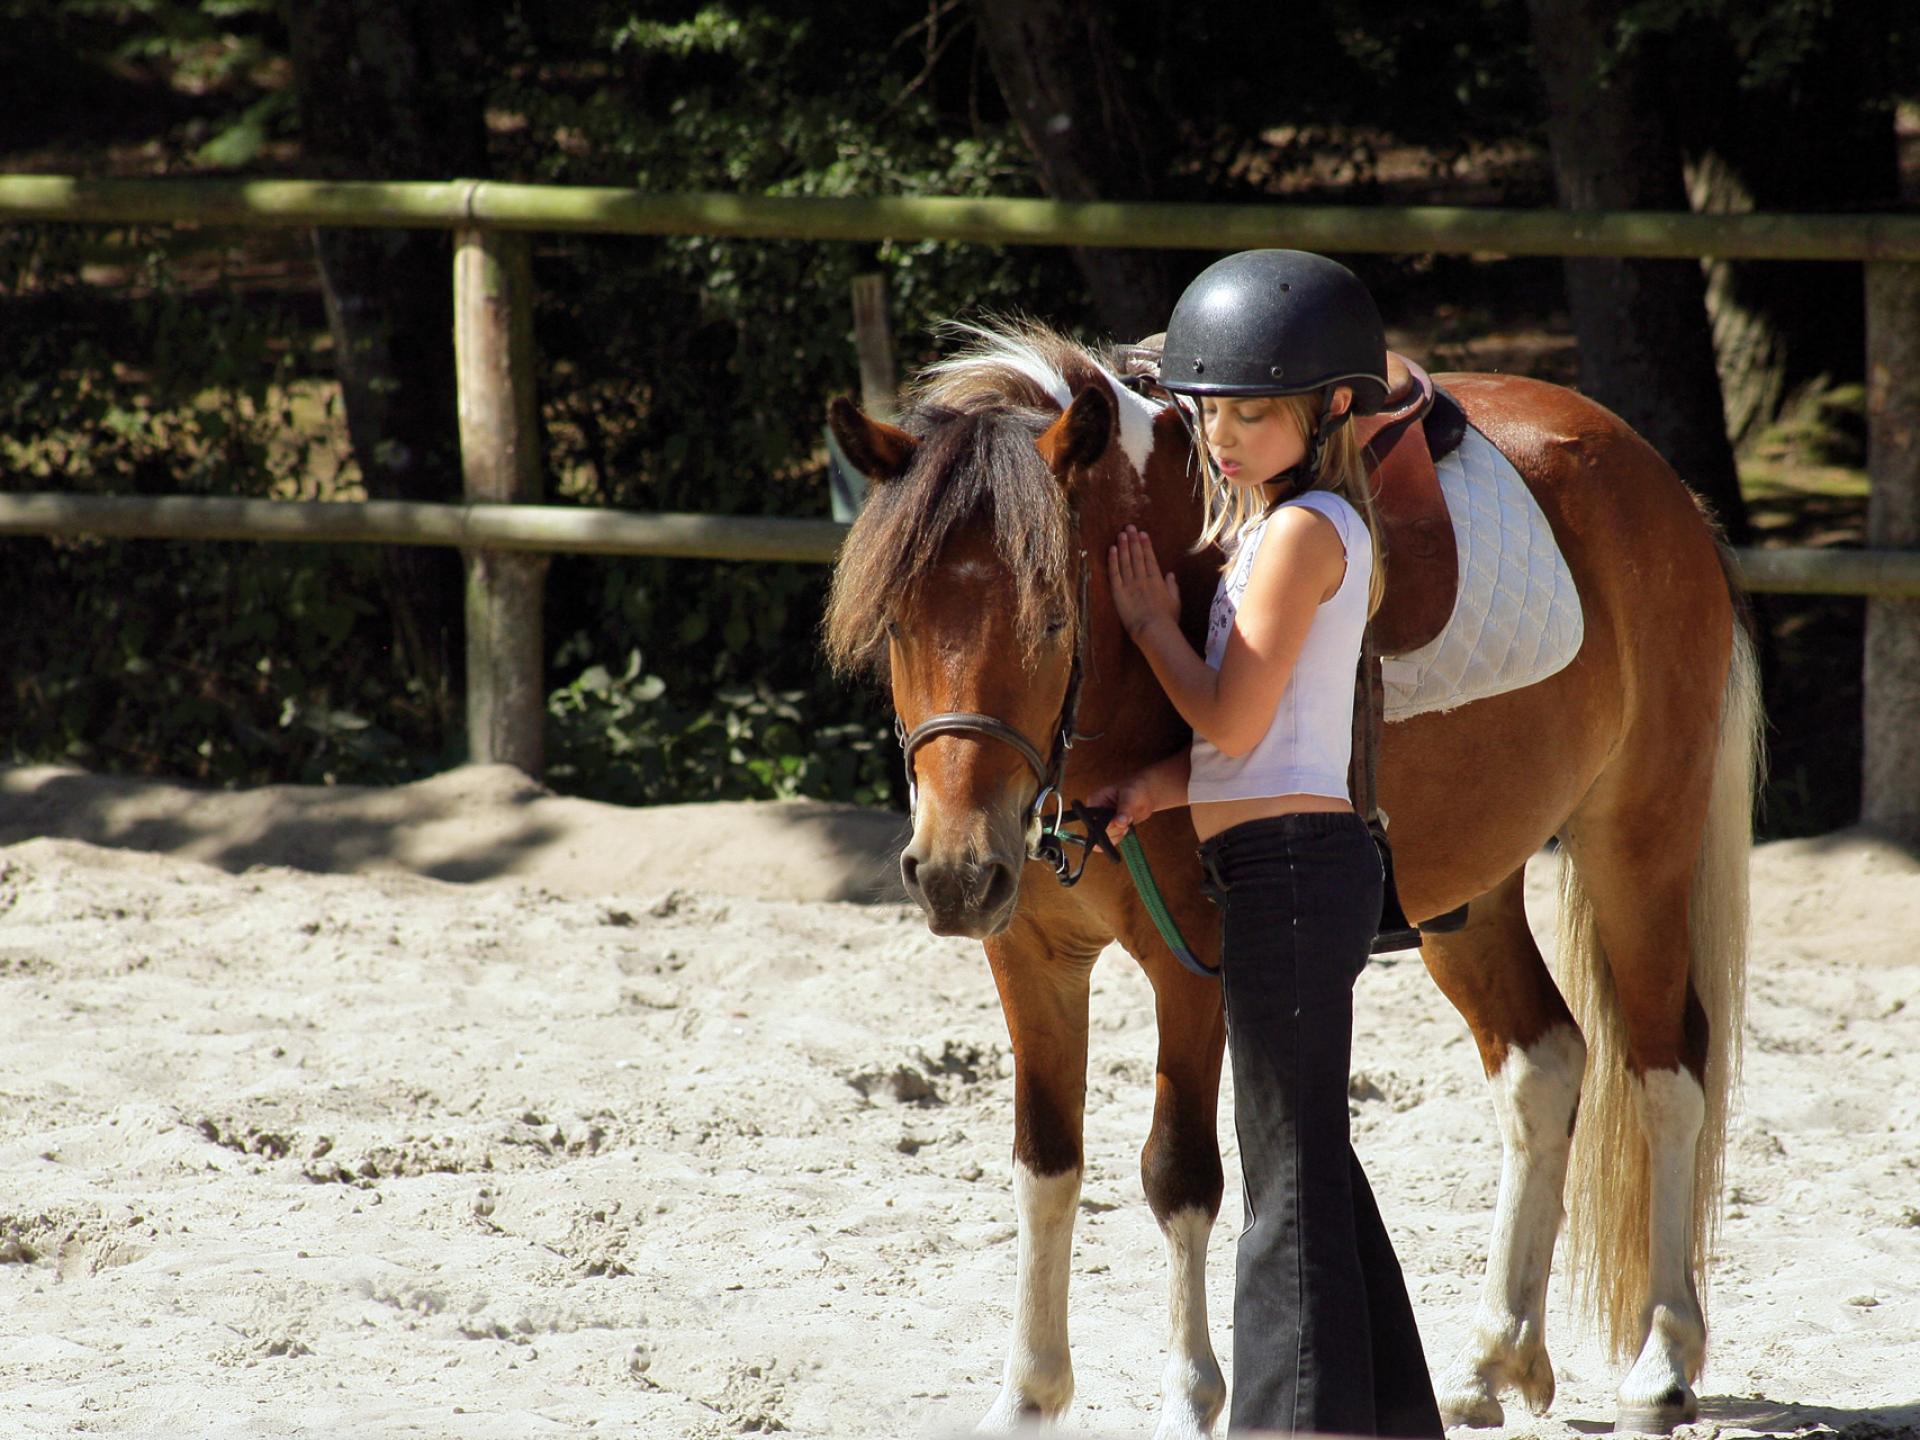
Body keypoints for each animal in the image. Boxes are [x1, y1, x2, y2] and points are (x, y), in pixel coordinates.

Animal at [823, 321, 1760, 1439]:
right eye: (898, 626)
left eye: (1050, 619)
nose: (955, 874)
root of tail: (1660, 486)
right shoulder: (1030, 959)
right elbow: (1044, 1166)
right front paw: (1028, 1399)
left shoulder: (1193, 968)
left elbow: (1178, 1173)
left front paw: (1191, 1401)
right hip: (1466, 896)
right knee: (1544, 1065)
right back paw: (1491, 1359)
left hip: (1638, 847)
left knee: (1667, 1070)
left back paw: (1662, 1361)